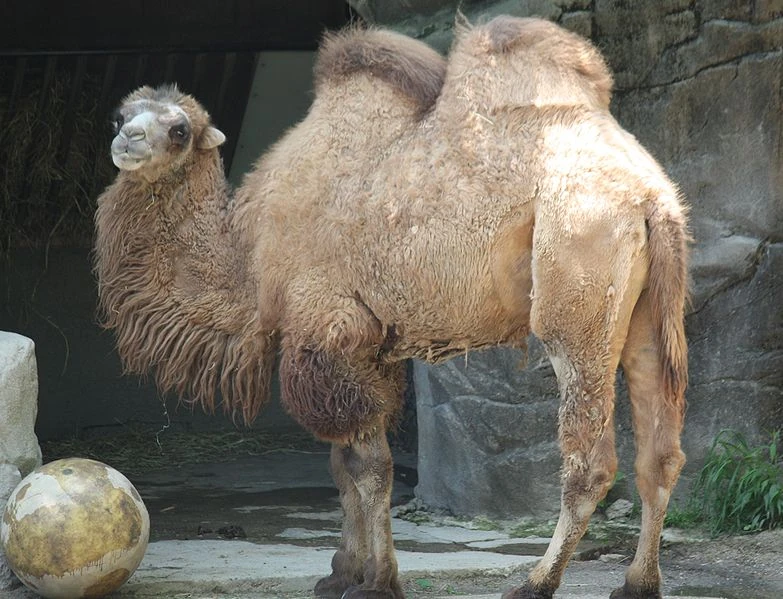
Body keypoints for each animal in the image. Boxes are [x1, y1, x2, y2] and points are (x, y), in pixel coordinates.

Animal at [94, 16, 689, 599]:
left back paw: (535, 583)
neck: (251, 256)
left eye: (179, 130)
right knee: (659, 454)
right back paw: (638, 584)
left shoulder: (327, 328)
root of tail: (651, 197)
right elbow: (343, 463)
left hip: (577, 286)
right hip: (648, 315)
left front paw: (377, 581)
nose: (126, 139)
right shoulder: (370, 345)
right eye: (122, 113)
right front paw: (342, 572)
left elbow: (369, 467)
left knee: (590, 459)